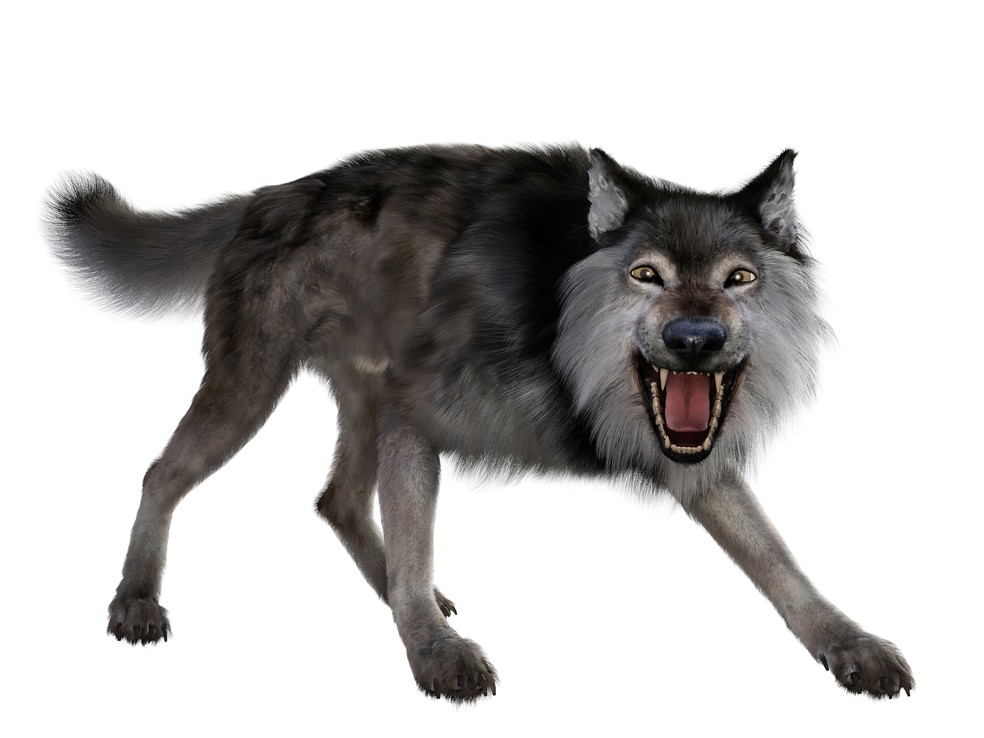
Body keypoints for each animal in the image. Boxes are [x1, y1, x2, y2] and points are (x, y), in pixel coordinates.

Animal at [46, 144, 913, 700]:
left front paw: (851, 644)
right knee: (164, 472)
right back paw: (136, 599)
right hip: (253, 388)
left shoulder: (696, 468)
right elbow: (416, 541)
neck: (559, 328)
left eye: (738, 279)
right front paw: (435, 653)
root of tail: (268, 195)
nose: (693, 340)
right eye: (647, 274)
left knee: (336, 500)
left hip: (356, 397)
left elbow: (782, 565)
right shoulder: (414, 410)